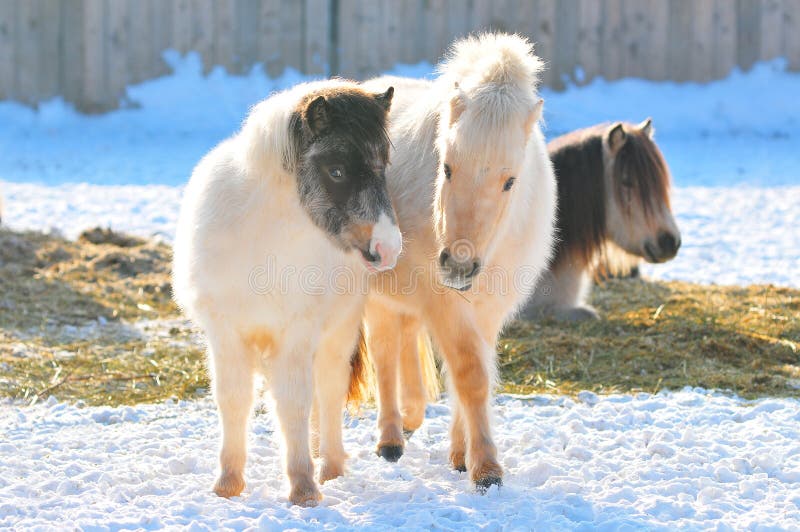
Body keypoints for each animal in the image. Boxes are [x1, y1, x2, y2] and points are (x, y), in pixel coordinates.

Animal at [172, 79, 401, 506]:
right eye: (337, 170)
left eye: (383, 166)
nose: (388, 248)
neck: (261, 241)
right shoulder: (226, 334)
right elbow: (233, 400)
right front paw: (228, 483)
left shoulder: (296, 334)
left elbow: (294, 404)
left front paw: (303, 487)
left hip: (337, 334)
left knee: (327, 391)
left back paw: (329, 467)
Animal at [357, 33, 557, 490]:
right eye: (447, 167)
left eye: (510, 181)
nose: (458, 265)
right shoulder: (446, 303)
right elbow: (470, 373)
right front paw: (486, 468)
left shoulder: (488, 309)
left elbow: (471, 372)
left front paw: (461, 454)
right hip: (377, 298)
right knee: (385, 353)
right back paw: (390, 439)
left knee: (405, 339)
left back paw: (412, 415)